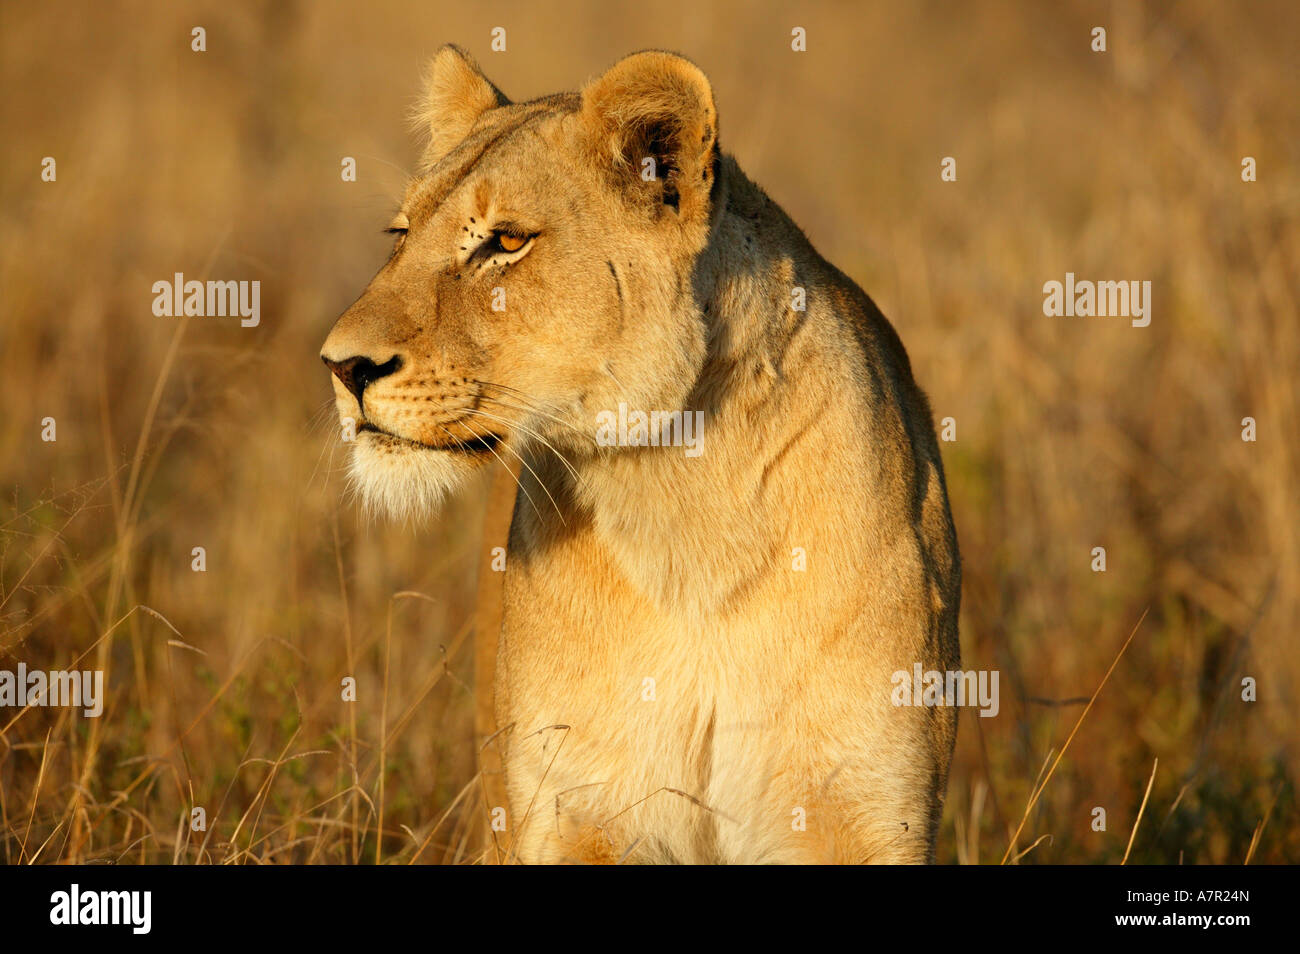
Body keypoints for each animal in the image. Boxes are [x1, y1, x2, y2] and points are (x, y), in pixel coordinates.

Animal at [321, 45, 961, 864]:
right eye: (400, 233)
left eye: (505, 242)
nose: (342, 366)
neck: (680, 504)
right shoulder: (579, 804)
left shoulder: (864, 806)